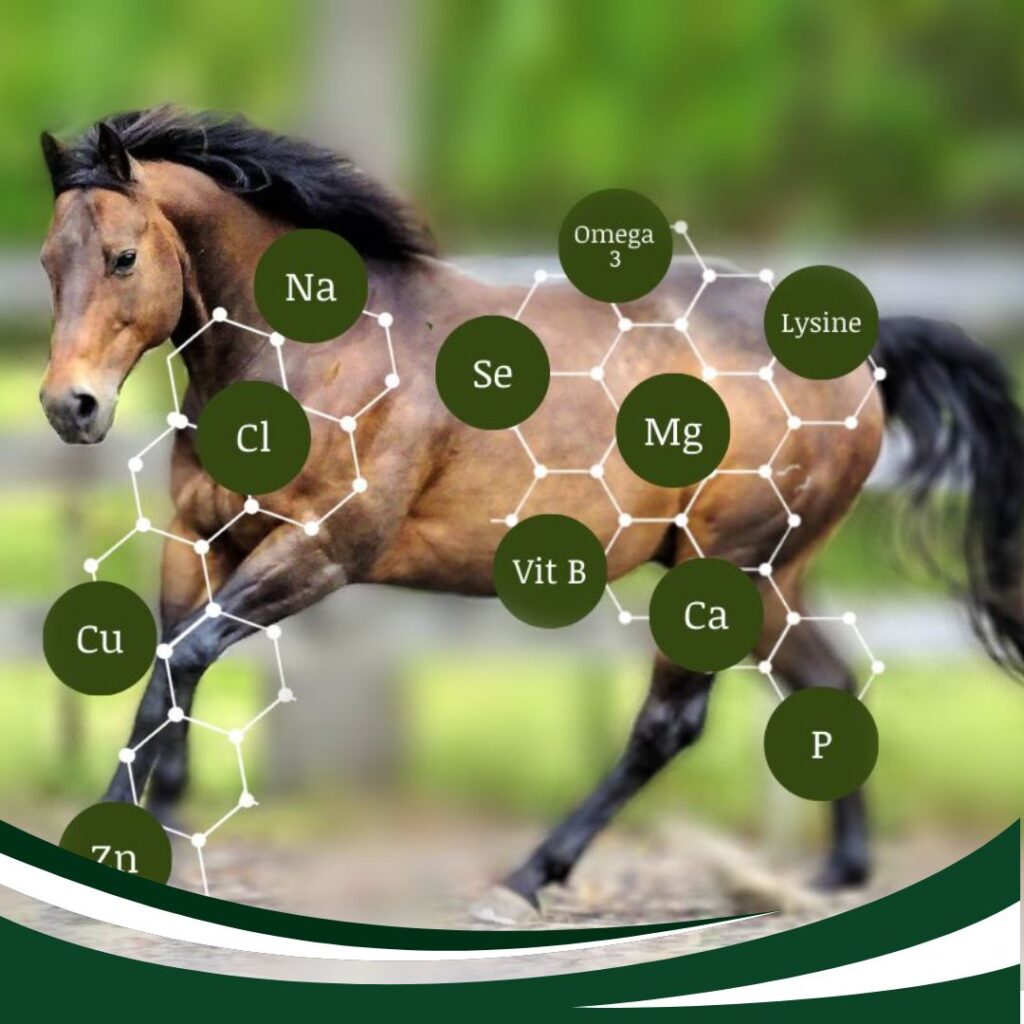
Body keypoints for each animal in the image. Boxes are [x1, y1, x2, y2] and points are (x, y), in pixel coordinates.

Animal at [37, 107, 1024, 914]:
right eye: (49, 263)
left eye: (123, 257)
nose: (68, 407)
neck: (310, 354)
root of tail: (863, 351)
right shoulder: (199, 538)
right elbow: (167, 667)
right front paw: (160, 828)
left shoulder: (323, 550)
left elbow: (184, 658)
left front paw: (121, 841)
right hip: (771, 577)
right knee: (830, 682)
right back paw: (833, 874)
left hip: (725, 570)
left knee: (670, 724)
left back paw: (526, 879)